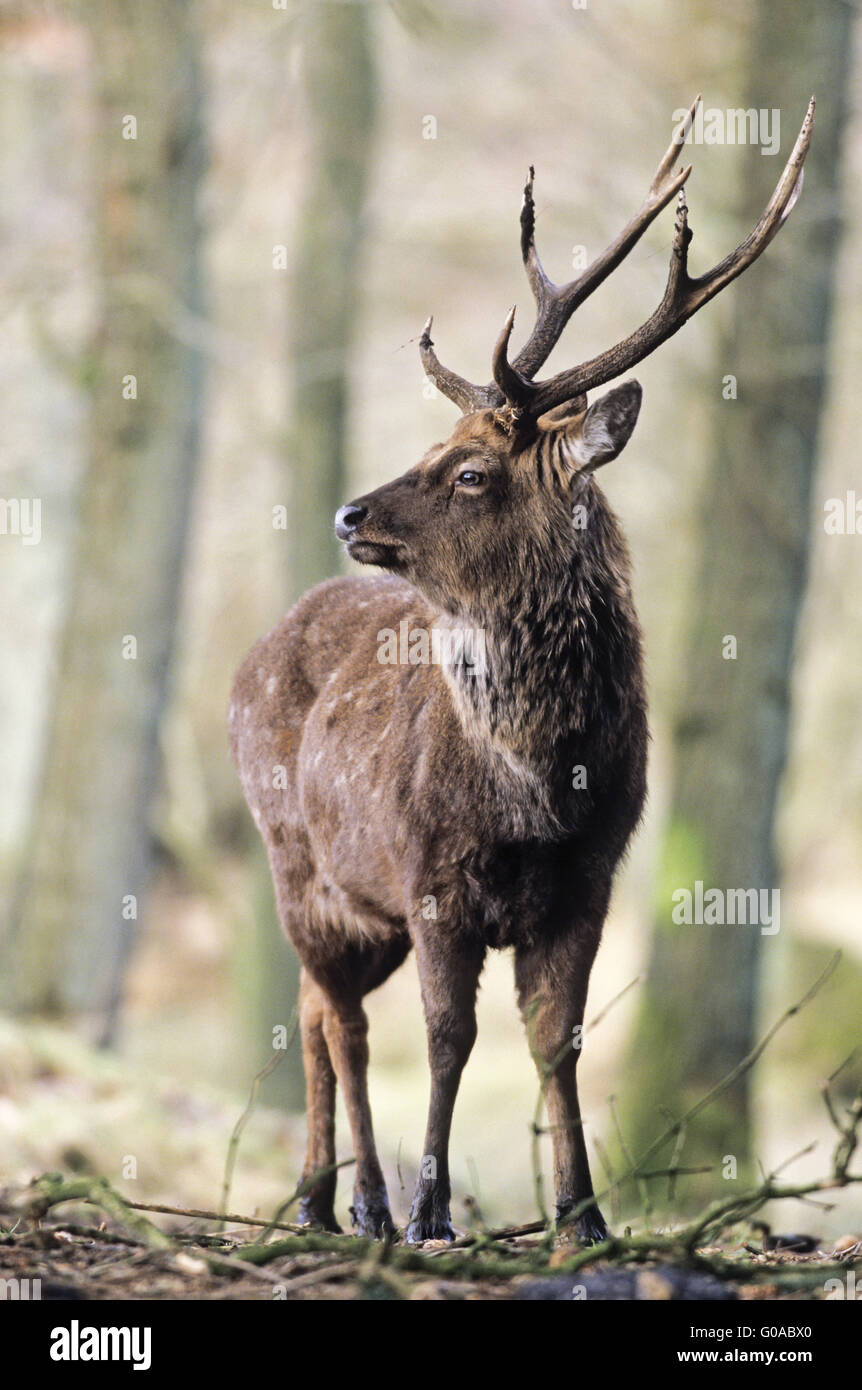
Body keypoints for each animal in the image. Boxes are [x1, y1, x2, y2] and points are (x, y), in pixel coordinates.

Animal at [230, 96, 813, 1244]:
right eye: (434, 445)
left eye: (469, 471)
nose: (348, 513)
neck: (539, 788)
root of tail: (257, 647)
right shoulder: (431, 876)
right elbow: (447, 1037)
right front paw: (431, 1211)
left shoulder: (592, 876)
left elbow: (557, 1041)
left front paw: (581, 1214)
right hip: (295, 860)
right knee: (339, 1018)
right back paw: (358, 1202)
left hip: (356, 904)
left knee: (317, 1014)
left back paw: (323, 1199)